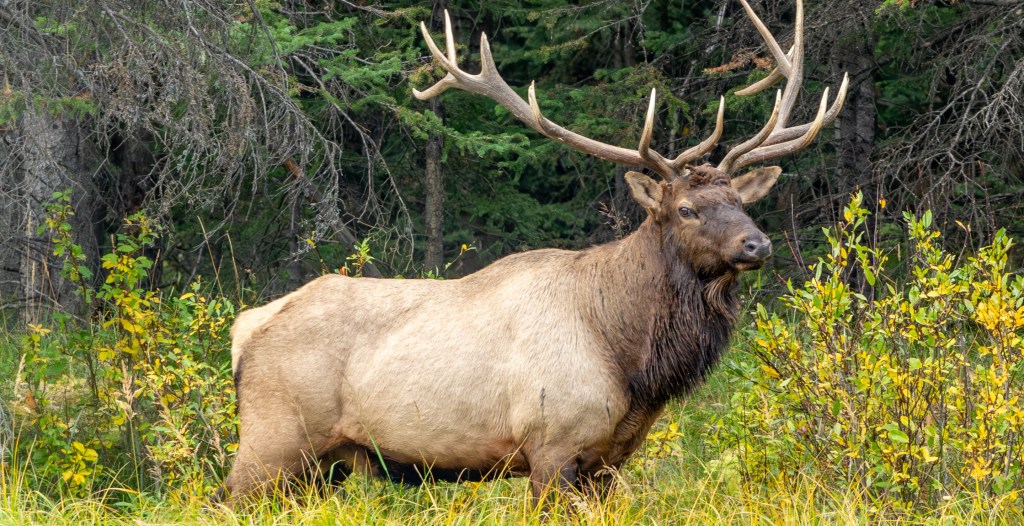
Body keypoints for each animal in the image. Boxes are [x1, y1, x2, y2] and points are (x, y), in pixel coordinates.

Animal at [219, 0, 848, 508]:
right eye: (687, 209)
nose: (757, 243)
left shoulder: (609, 461)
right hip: (272, 442)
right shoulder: (552, 446)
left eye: (740, 202)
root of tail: (244, 328)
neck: (630, 360)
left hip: (322, 466)